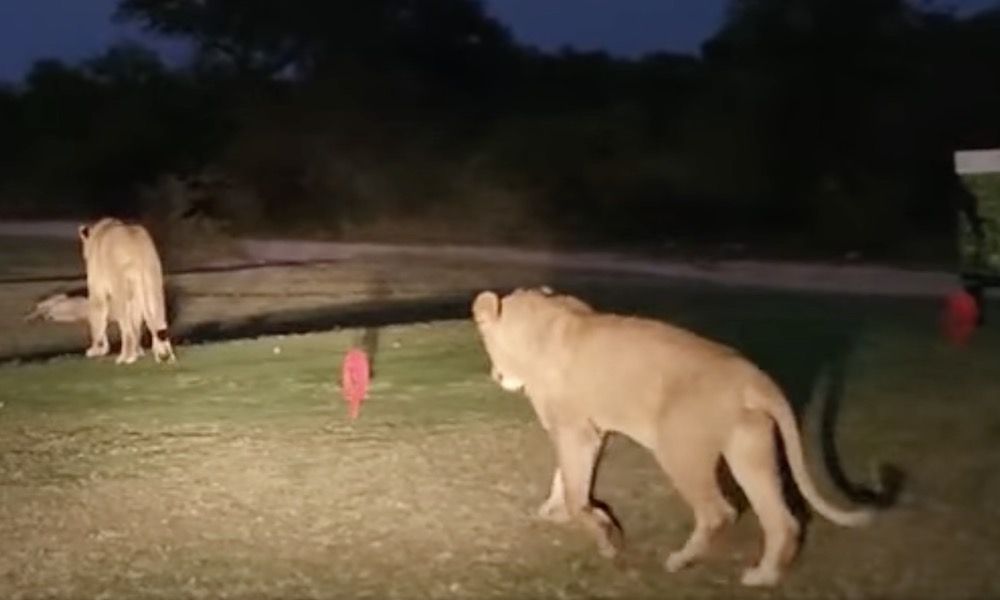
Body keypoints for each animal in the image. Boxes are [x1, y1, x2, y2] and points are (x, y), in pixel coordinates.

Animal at [78, 217, 176, 364]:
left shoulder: (98, 291)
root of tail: (138, 248)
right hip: (153, 285)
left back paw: (126, 357)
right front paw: (139, 352)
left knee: (127, 329)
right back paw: (164, 356)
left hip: (120, 290)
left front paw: (96, 350)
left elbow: (97, 315)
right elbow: (137, 323)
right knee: (157, 323)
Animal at [471, 287, 873, 587]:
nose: (495, 376)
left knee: (719, 512)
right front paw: (558, 511)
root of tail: (751, 375)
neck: (539, 320)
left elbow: (574, 489)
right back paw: (763, 577)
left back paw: (680, 561)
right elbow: (566, 478)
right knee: (783, 521)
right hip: (749, 452)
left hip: (678, 449)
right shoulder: (590, 429)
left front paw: (604, 536)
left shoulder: (576, 429)